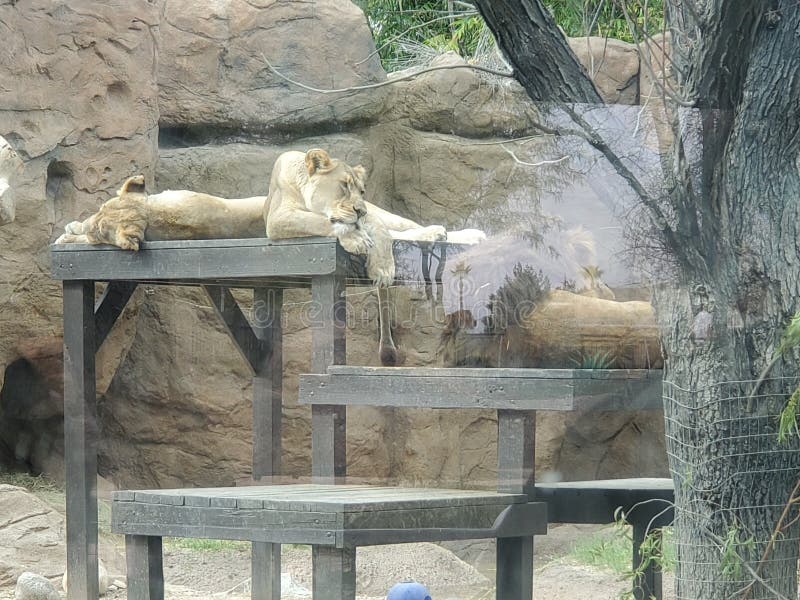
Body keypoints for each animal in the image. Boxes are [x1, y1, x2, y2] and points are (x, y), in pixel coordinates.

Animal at [56, 148, 485, 365]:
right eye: (343, 186)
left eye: (357, 187)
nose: (359, 207)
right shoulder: (279, 220)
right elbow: (331, 224)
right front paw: (356, 240)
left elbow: (376, 231)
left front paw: (373, 251)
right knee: (401, 229)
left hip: (390, 214)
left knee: (404, 226)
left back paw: (460, 233)